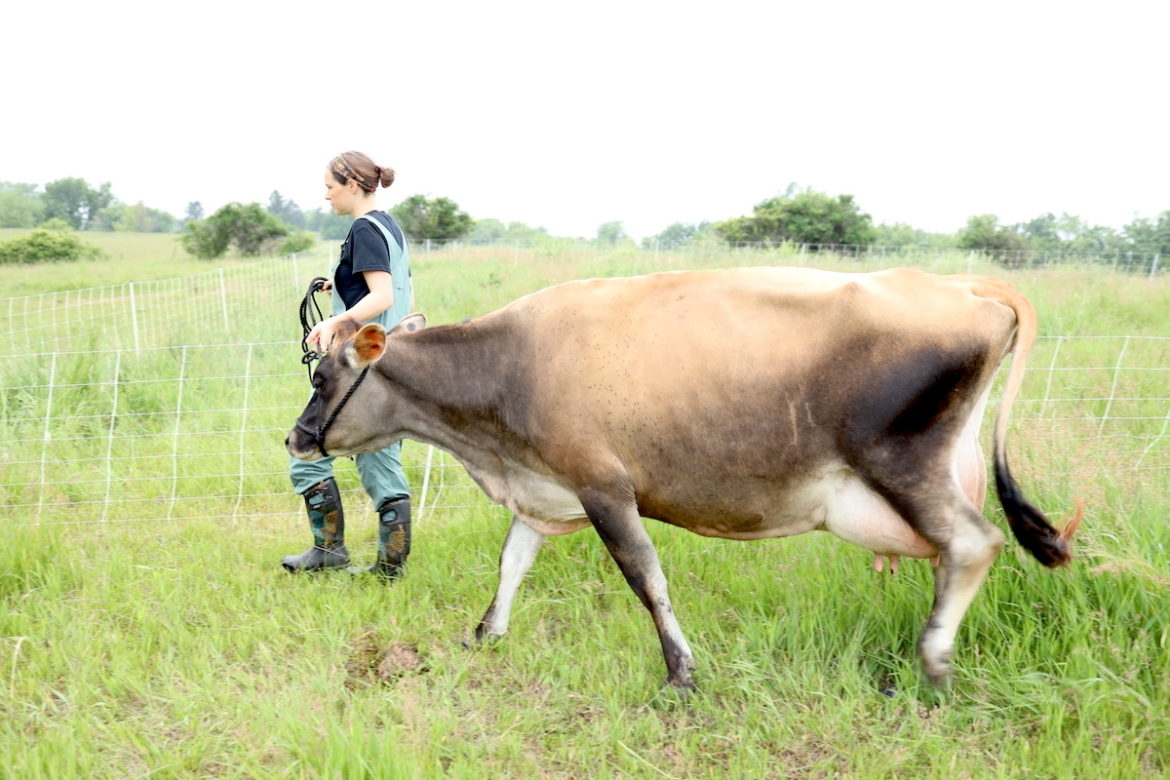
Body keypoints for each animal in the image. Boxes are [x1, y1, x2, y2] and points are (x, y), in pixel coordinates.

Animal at [287, 266, 1079, 690]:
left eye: (322, 377)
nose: (295, 437)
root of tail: (961, 283)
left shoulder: (604, 486)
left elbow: (647, 578)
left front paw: (681, 671)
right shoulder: (543, 489)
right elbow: (511, 564)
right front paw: (485, 636)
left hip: (901, 463)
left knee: (973, 546)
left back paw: (934, 663)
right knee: (959, 552)